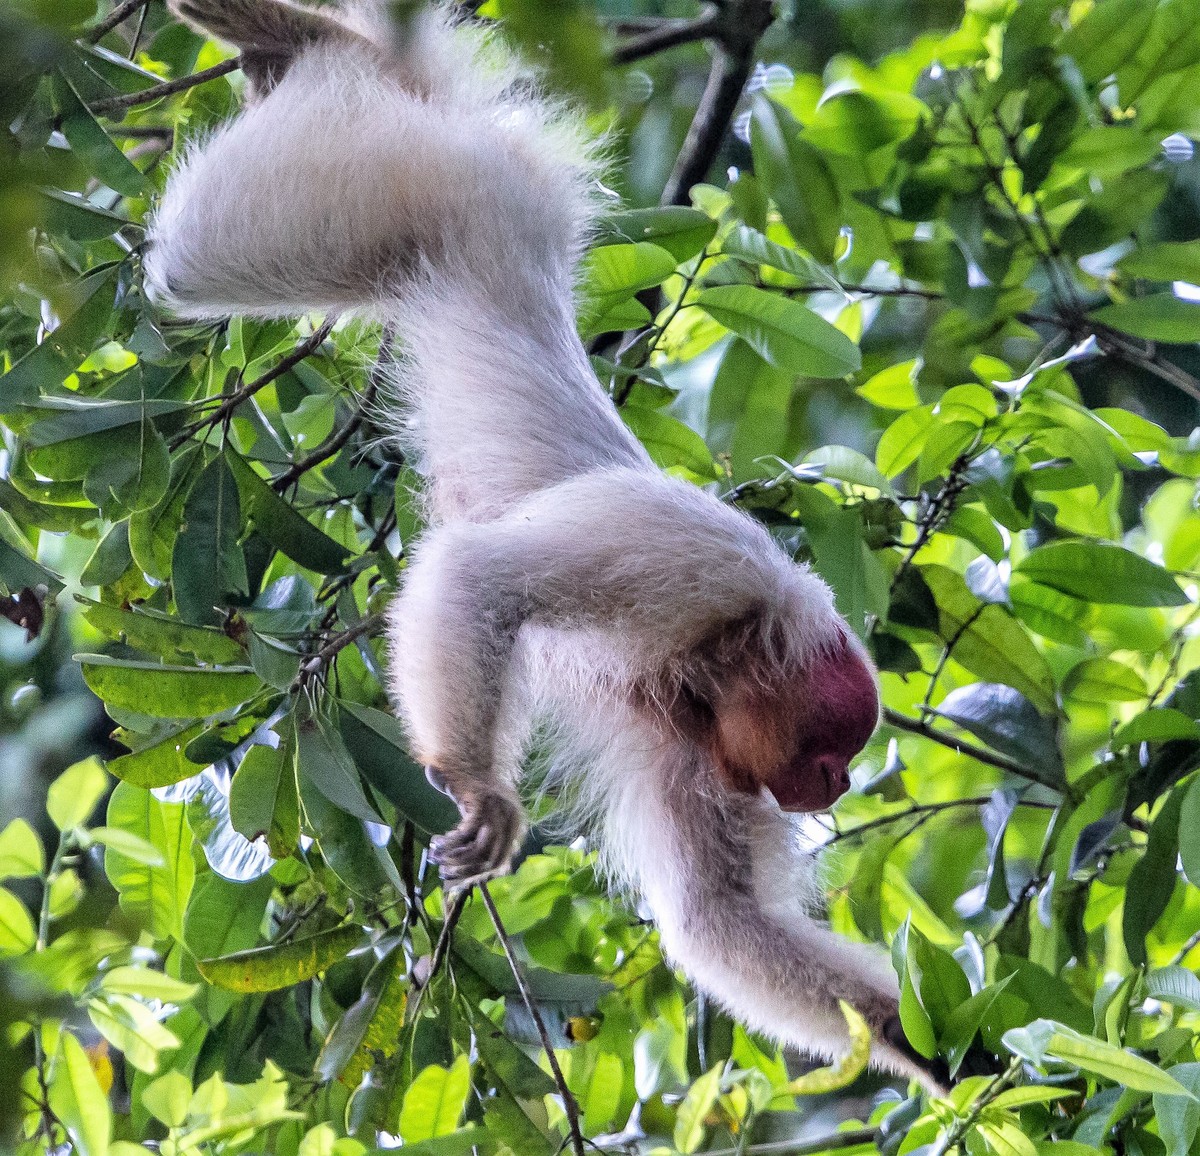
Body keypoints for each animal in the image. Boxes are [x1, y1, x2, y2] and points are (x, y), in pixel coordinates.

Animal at [145, 0, 940, 1088]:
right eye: (829, 749)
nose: (842, 785)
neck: (715, 662)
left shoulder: (698, 752)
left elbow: (718, 920)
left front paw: (951, 1050)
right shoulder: (696, 561)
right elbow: (478, 577)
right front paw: (483, 790)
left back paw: (294, 46)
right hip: (425, 189)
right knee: (193, 254)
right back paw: (310, 44)